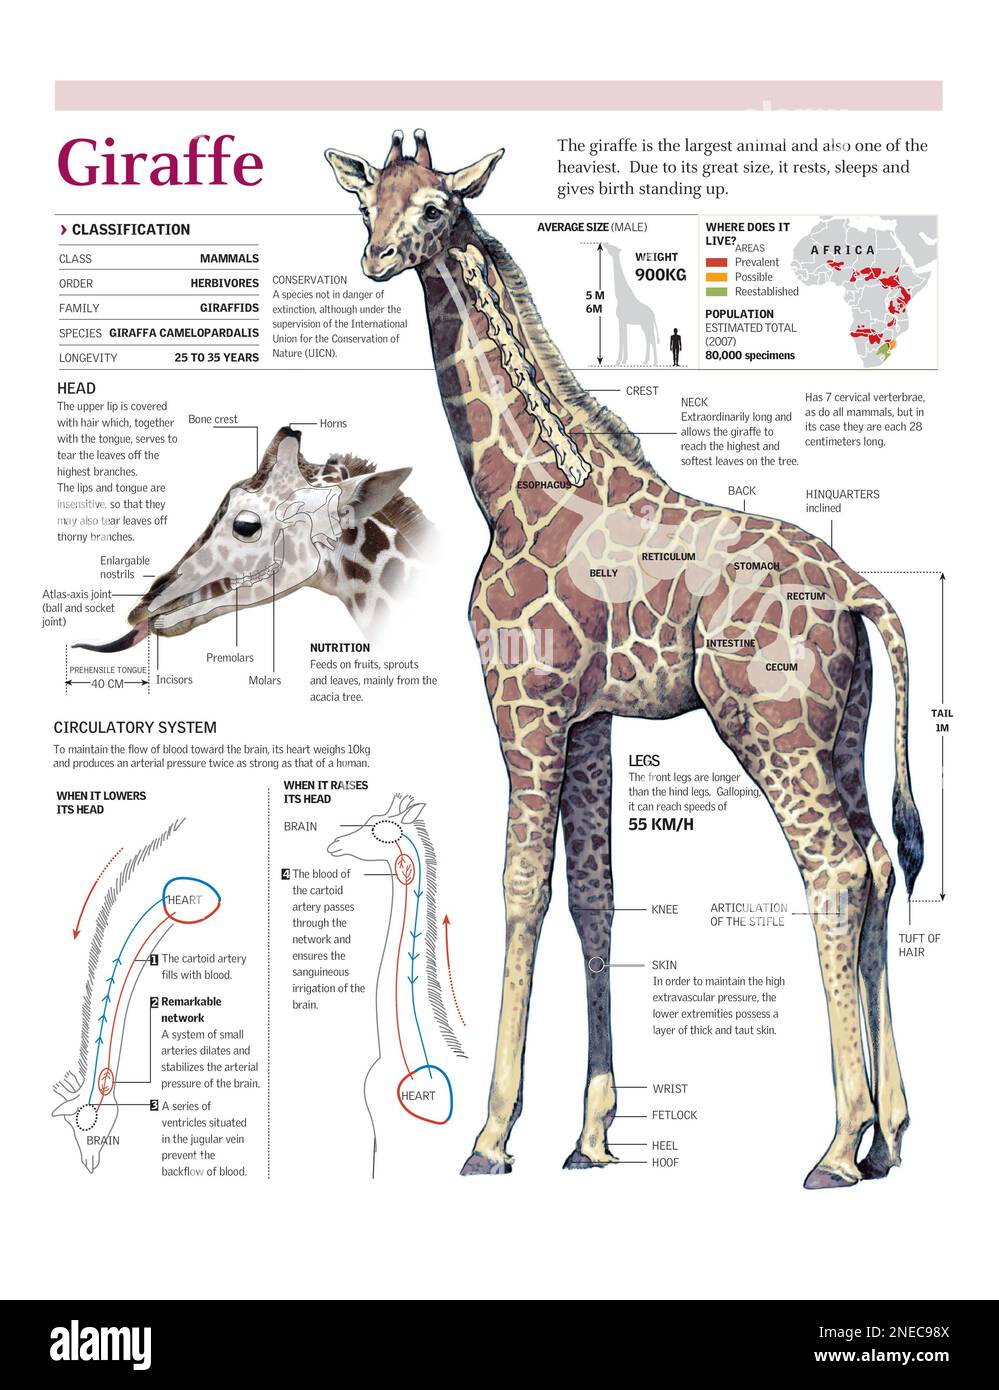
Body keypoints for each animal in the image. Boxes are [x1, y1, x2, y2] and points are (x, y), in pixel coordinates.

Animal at [326, 131, 923, 1189]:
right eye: (370, 203)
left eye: (435, 206)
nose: (377, 257)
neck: (511, 492)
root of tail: (859, 590)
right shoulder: (591, 717)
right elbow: (595, 899)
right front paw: (592, 1136)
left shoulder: (523, 703)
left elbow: (522, 888)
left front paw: (490, 1137)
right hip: (843, 731)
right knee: (879, 864)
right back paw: (889, 1136)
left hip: (767, 726)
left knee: (833, 870)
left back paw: (836, 1146)